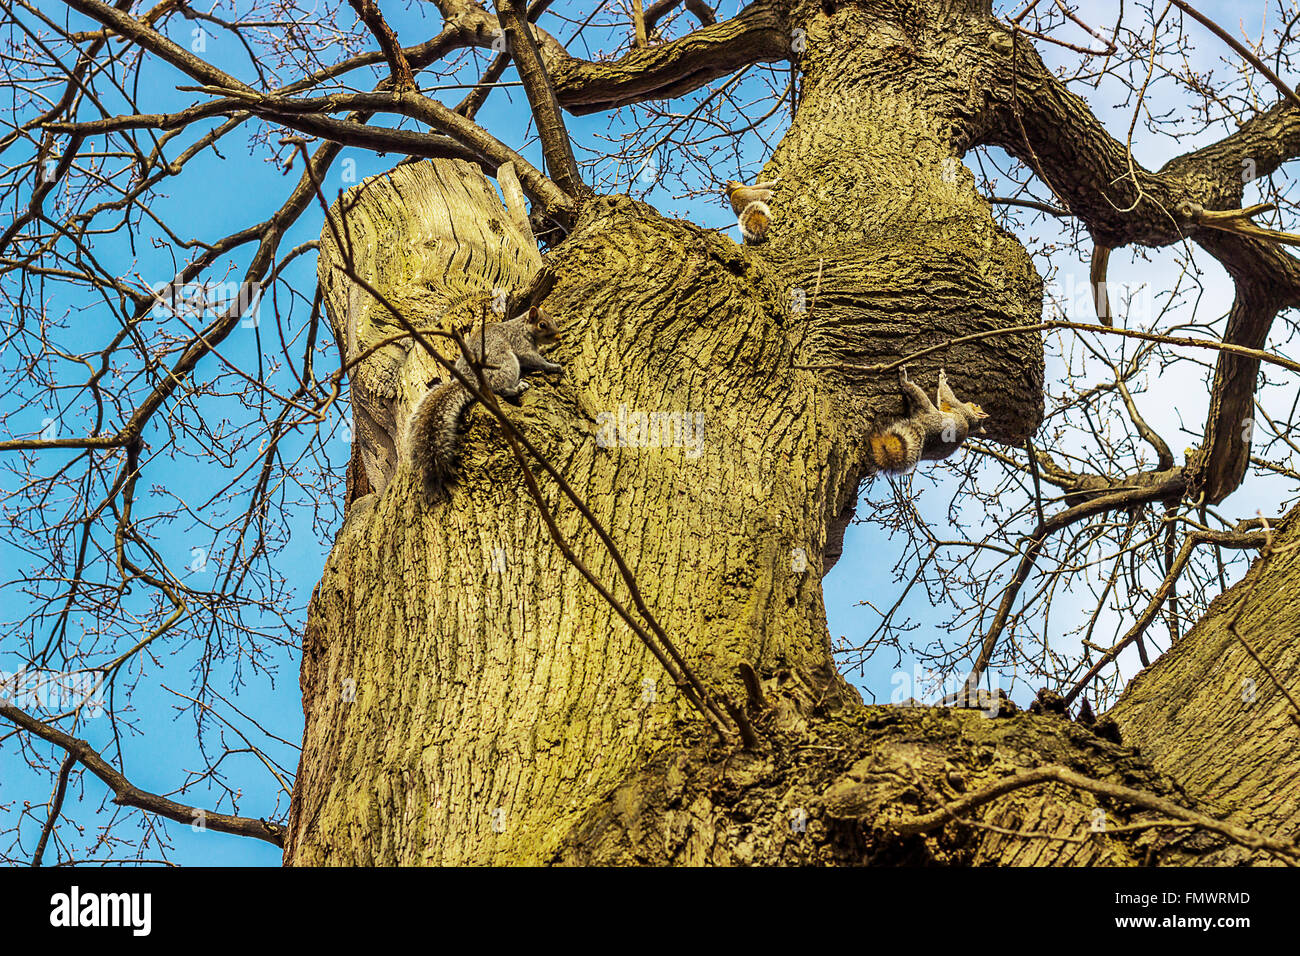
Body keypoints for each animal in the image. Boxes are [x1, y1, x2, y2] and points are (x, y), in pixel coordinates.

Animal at [405, 306, 562, 499]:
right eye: (542, 324)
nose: (558, 337)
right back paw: (517, 387)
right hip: (506, 363)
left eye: (554, 321)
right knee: (499, 387)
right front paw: (552, 365)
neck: (522, 327)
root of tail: (472, 380)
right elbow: (534, 359)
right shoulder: (521, 345)